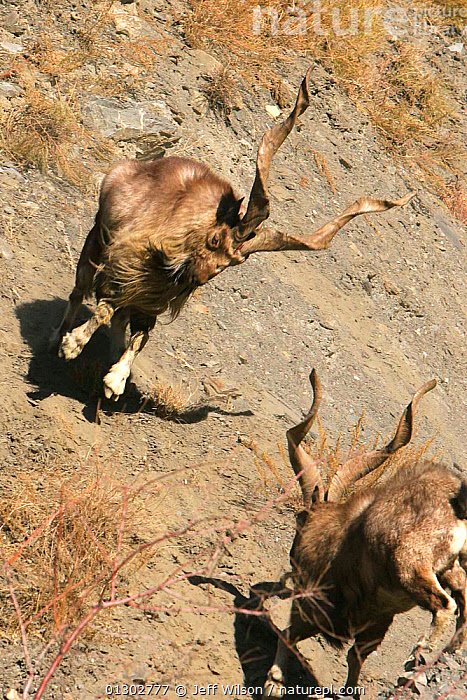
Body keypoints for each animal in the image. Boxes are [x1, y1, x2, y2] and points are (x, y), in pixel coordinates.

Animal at [51, 70, 415, 400]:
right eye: (214, 240)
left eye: (235, 262)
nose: (199, 278)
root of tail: (129, 169)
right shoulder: (125, 266)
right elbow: (105, 308)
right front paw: (73, 345)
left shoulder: (151, 299)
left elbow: (140, 336)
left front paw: (116, 380)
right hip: (95, 242)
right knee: (79, 292)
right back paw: (58, 336)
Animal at [266, 370, 467, 697]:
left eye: (299, 519)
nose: (293, 554)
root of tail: (456, 501)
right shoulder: (378, 618)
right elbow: (355, 655)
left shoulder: (319, 603)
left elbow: (289, 632)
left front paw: (274, 680)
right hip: (450, 566)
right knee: (462, 594)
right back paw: (451, 646)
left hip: (410, 564)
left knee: (444, 604)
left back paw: (421, 650)